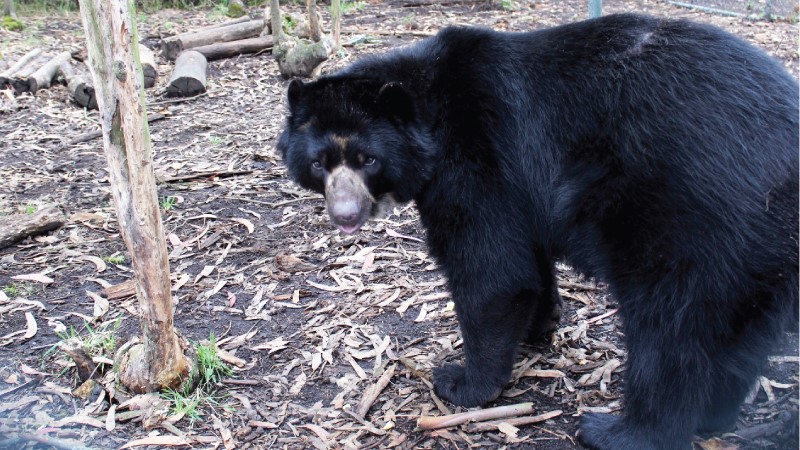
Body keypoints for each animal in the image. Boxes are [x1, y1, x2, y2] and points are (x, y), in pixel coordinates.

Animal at [276, 13, 799, 450]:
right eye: (320, 163)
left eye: (368, 159)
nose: (345, 215)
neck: (428, 110)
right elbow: (527, 262)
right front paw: (537, 328)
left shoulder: (474, 164)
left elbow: (491, 272)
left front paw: (463, 382)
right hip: (759, 251)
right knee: (738, 335)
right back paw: (714, 416)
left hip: (687, 215)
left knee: (670, 328)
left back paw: (619, 431)